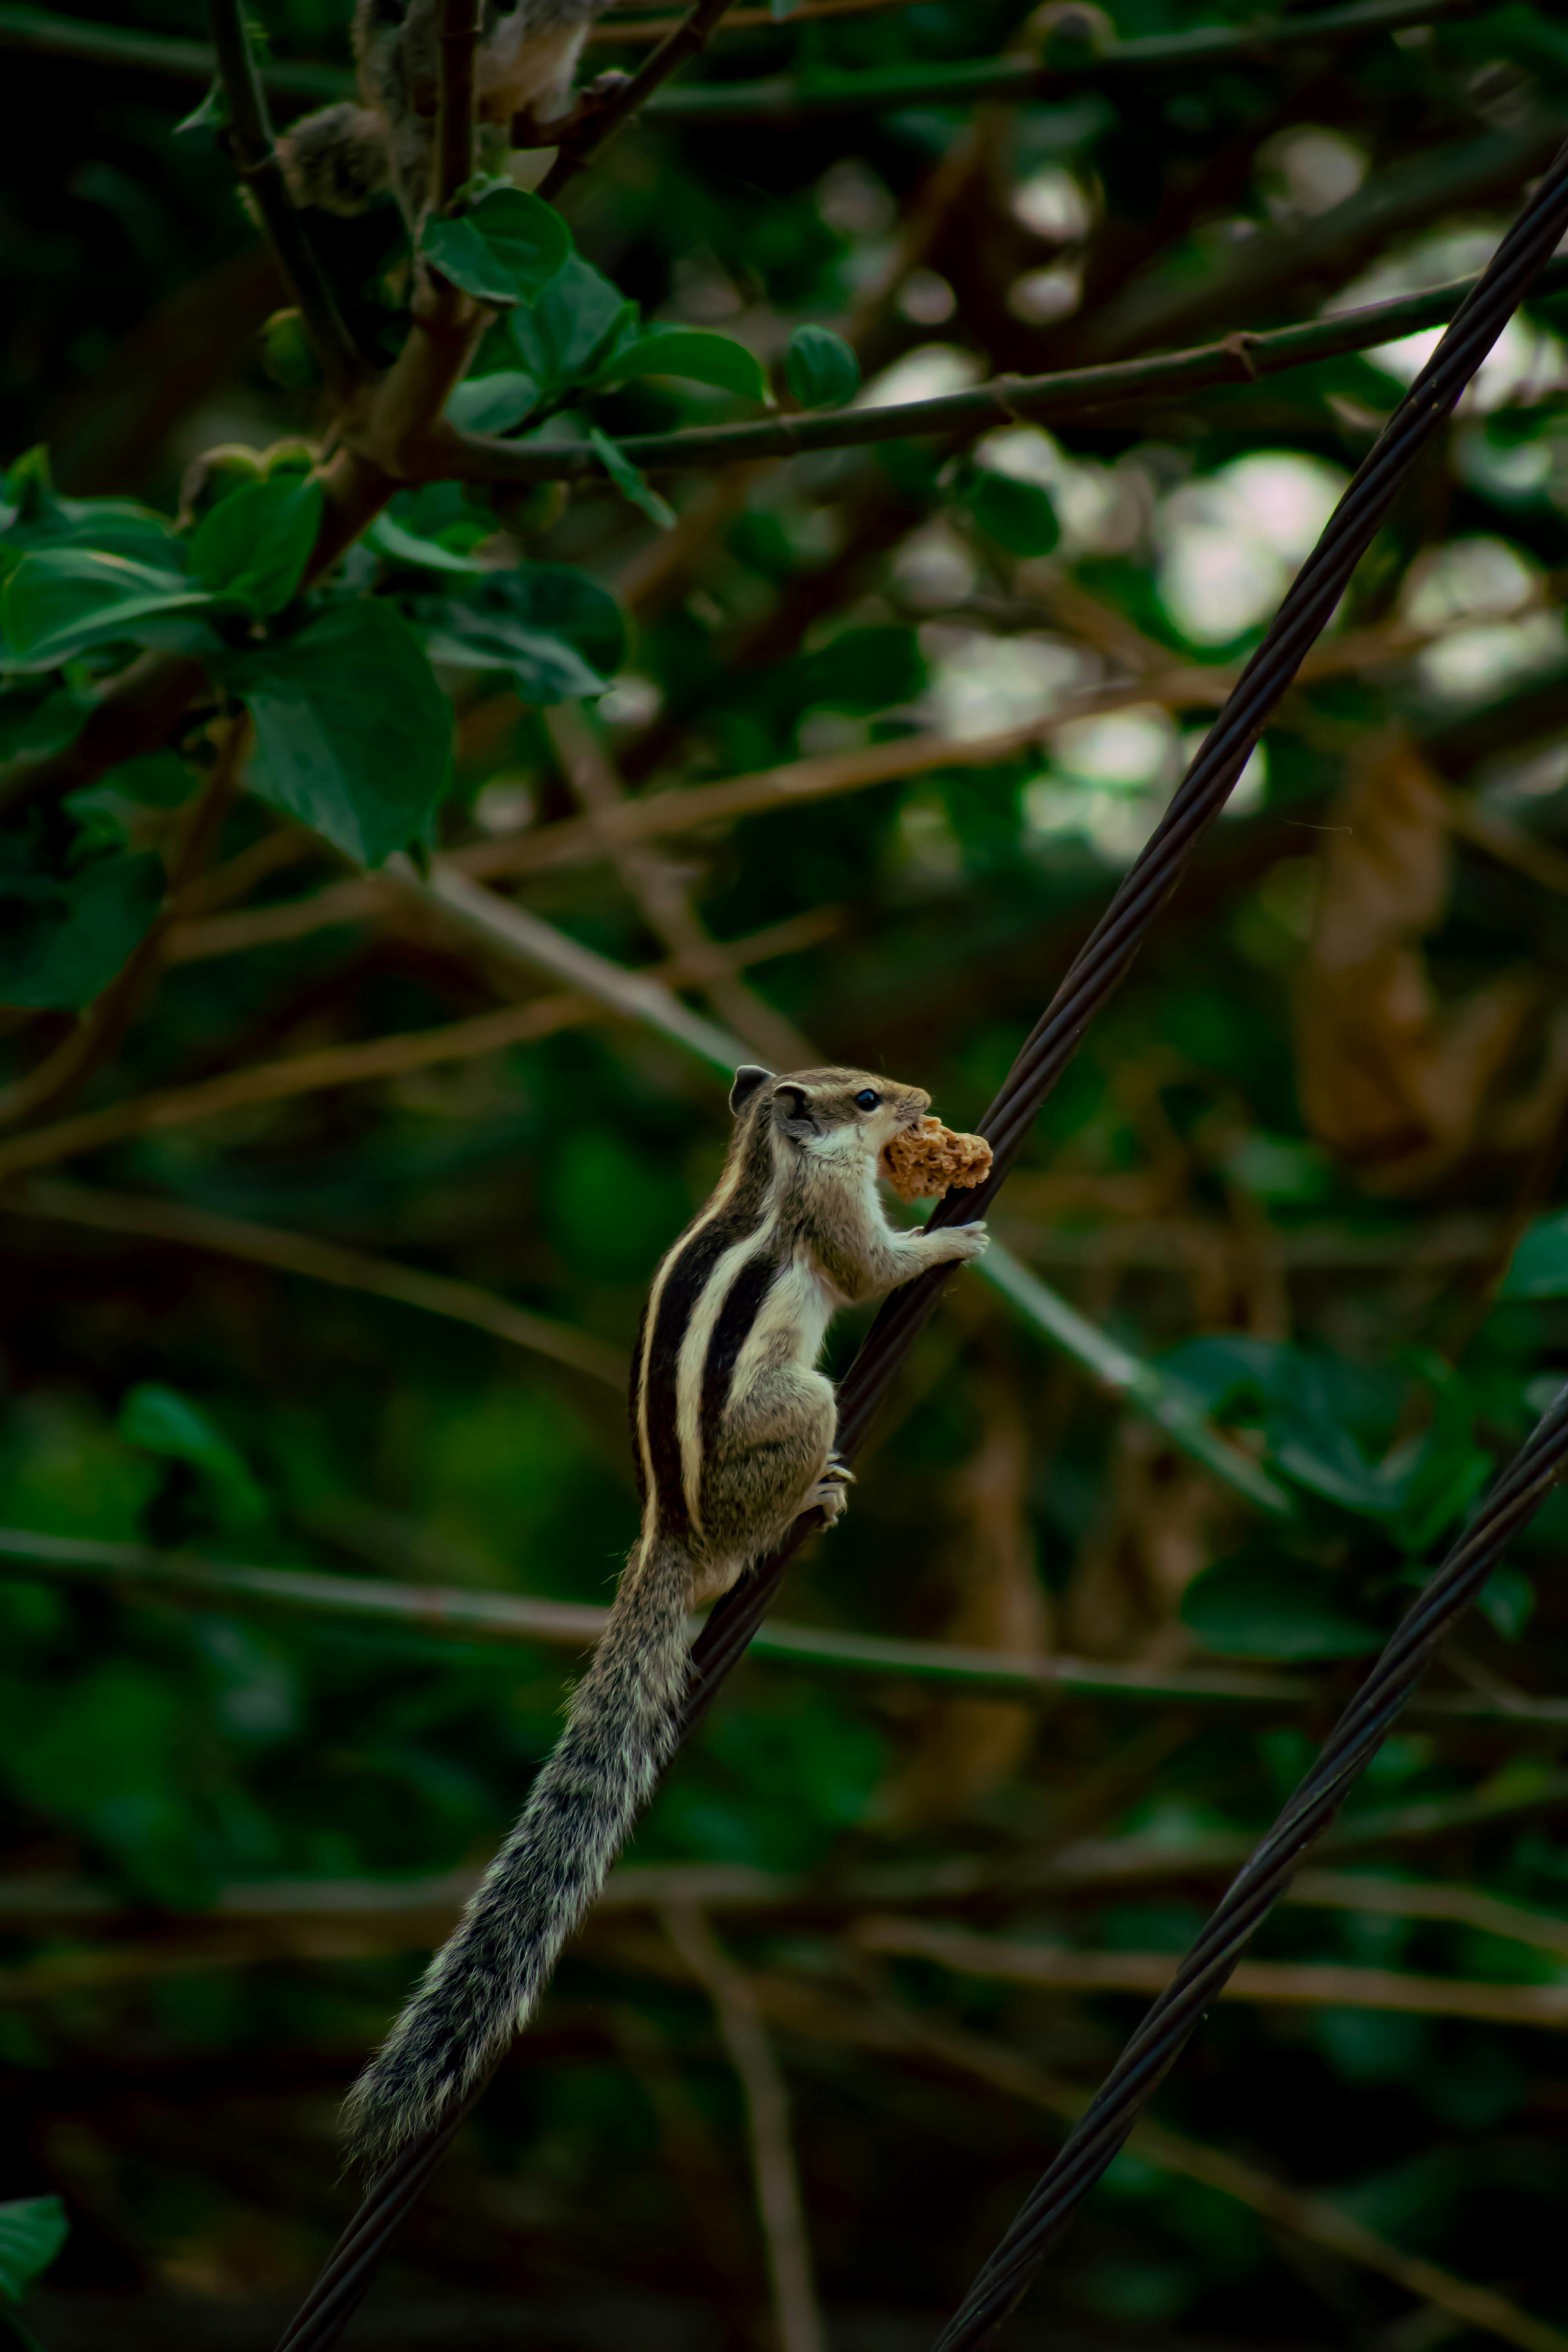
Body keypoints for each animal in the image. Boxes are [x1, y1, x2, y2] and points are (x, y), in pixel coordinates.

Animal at [341, 1064, 990, 2169]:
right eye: (865, 1098)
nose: (918, 1098)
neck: (770, 1161)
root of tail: (674, 1537)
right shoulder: (830, 1213)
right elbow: (868, 1270)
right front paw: (949, 1243)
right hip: (800, 1409)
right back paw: (808, 1504)